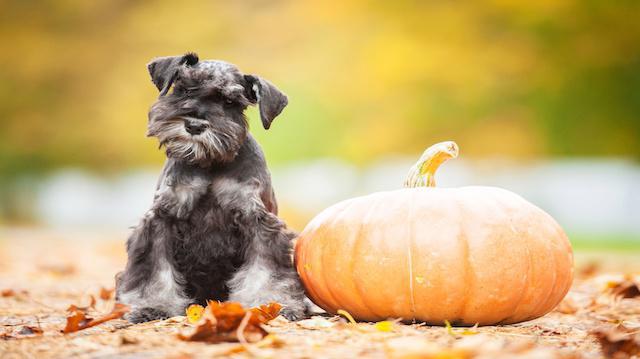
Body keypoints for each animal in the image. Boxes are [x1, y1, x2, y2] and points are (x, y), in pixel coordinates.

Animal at [116, 51, 308, 324]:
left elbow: (266, 269)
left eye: (230, 101)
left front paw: (270, 305)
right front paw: (154, 307)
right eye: (185, 89)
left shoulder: (258, 221)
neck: (211, 163)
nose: (195, 126)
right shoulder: (161, 220)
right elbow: (155, 271)